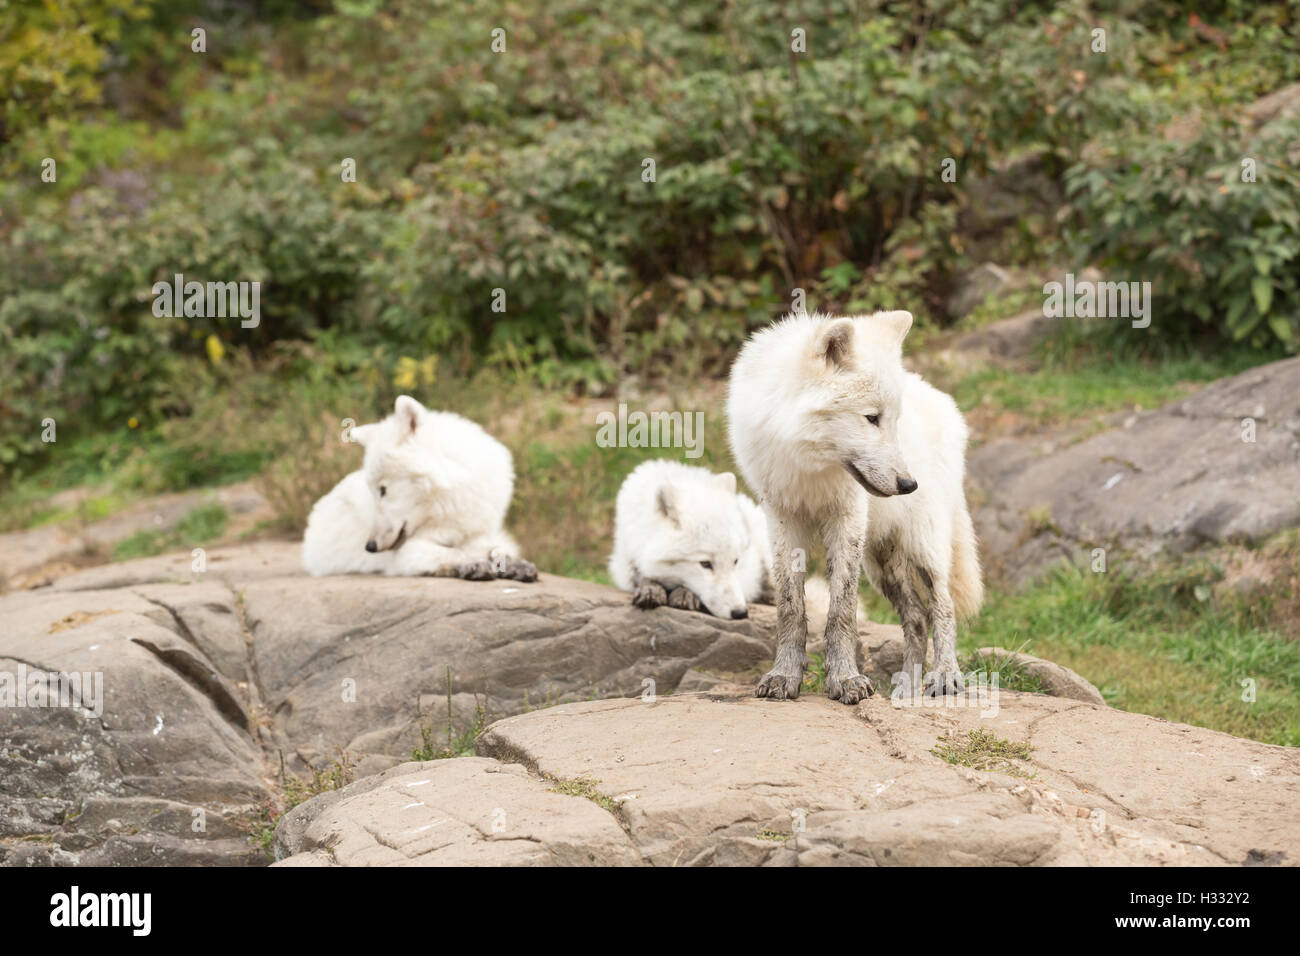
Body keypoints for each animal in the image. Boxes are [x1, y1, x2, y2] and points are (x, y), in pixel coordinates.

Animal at [302, 395, 537, 581]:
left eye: (383, 490)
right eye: (373, 492)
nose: (370, 547)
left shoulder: (482, 533)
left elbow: (496, 549)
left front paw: (516, 564)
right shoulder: (408, 552)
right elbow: (453, 553)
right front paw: (474, 564)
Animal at [608, 459, 772, 619]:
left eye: (735, 561)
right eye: (705, 563)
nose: (740, 613)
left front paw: (685, 594)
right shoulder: (625, 562)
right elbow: (641, 575)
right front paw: (650, 589)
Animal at [727, 311, 982, 703]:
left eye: (893, 421)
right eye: (872, 418)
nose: (908, 485)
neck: (812, 463)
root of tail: (944, 401)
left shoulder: (847, 519)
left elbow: (842, 610)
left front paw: (845, 679)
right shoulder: (783, 517)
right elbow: (790, 606)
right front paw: (784, 675)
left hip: (923, 547)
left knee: (943, 605)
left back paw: (944, 675)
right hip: (882, 565)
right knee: (916, 617)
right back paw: (907, 685)